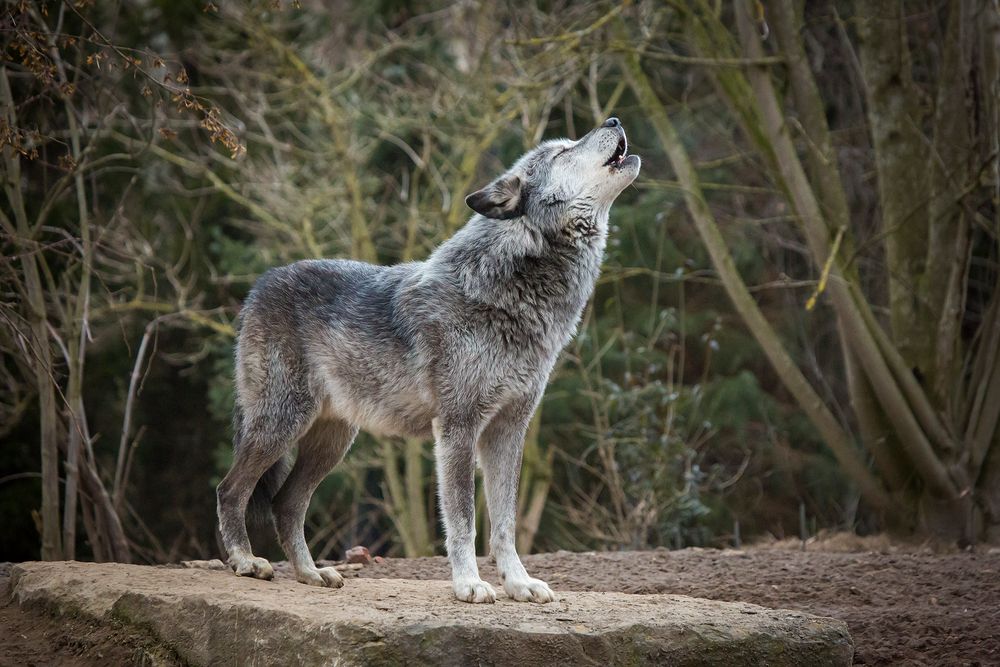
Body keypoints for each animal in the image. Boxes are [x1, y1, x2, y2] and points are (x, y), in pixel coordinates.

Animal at [216, 117, 640, 603]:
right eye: (564, 150)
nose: (613, 120)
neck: (513, 289)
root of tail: (258, 287)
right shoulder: (458, 427)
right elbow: (463, 519)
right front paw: (469, 584)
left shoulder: (508, 429)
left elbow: (505, 523)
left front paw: (518, 583)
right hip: (281, 424)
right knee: (231, 489)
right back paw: (245, 561)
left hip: (332, 441)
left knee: (286, 503)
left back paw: (311, 574)